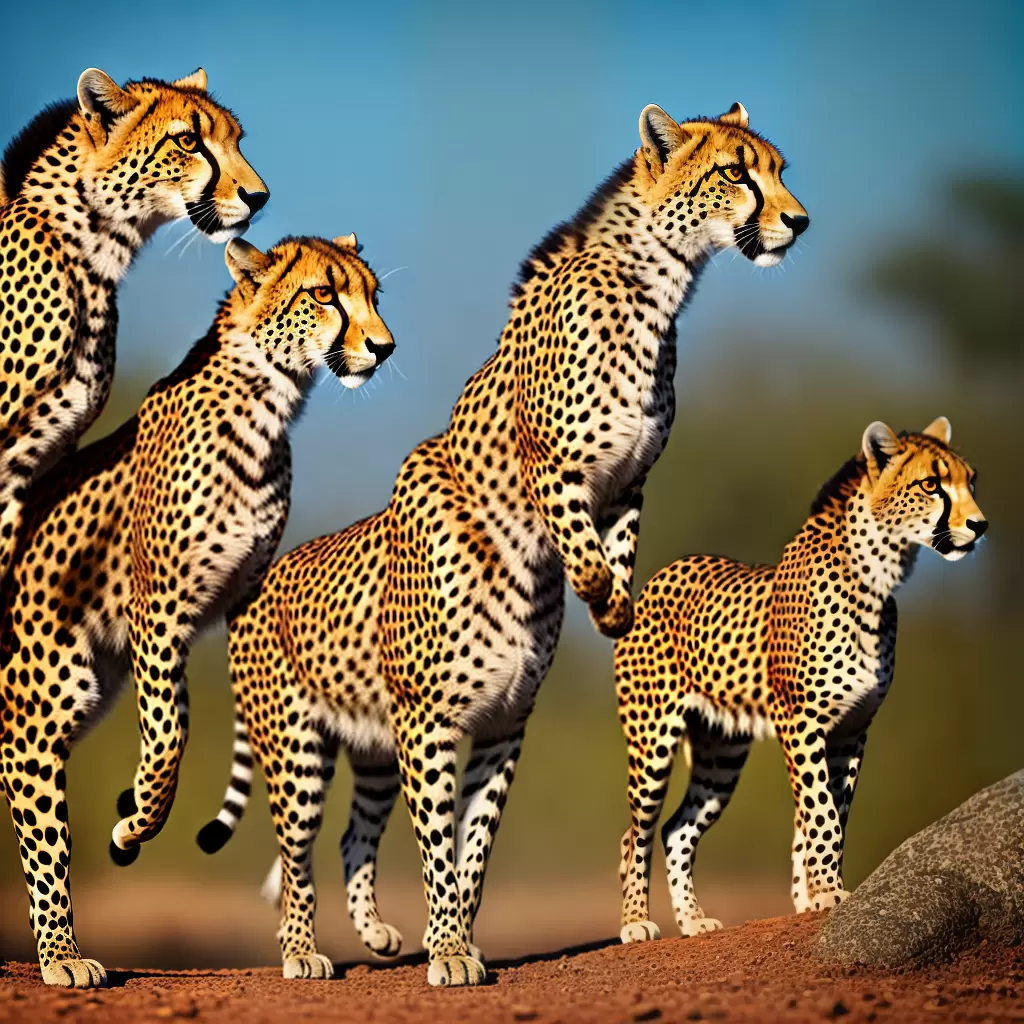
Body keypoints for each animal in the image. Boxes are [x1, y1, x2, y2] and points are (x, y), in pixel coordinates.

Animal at [0, 233, 394, 988]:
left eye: (372, 293)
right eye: (323, 294)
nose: (383, 347)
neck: (270, 401)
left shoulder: (244, 599)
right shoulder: (159, 613)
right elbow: (171, 737)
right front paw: (136, 821)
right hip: (36, 717)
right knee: (45, 841)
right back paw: (63, 958)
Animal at [197, 101, 808, 987]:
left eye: (780, 169)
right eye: (735, 171)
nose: (797, 220)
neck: (656, 292)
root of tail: (266, 575)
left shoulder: (504, 718)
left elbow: (474, 848)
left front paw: (460, 939)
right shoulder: (547, 480)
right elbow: (439, 847)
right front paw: (451, 953)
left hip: (371, 747)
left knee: (353, 835)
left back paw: (377, 933)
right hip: (300, 746)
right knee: (297, 849)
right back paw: (304, 953)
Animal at [614, 417, 987, 944]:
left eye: (971, 481)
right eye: (932, 484)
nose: (980, 525)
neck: (875, 578)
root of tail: (664, 571)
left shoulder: (852, 730)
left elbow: (832, 813)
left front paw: (813, 895)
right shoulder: (802, 722)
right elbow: (822, 813)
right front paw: (827, 892)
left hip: (721, 754)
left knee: (676, 829)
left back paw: (691, 920)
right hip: (653, 740)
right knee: (636, 834)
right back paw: (635, 922)